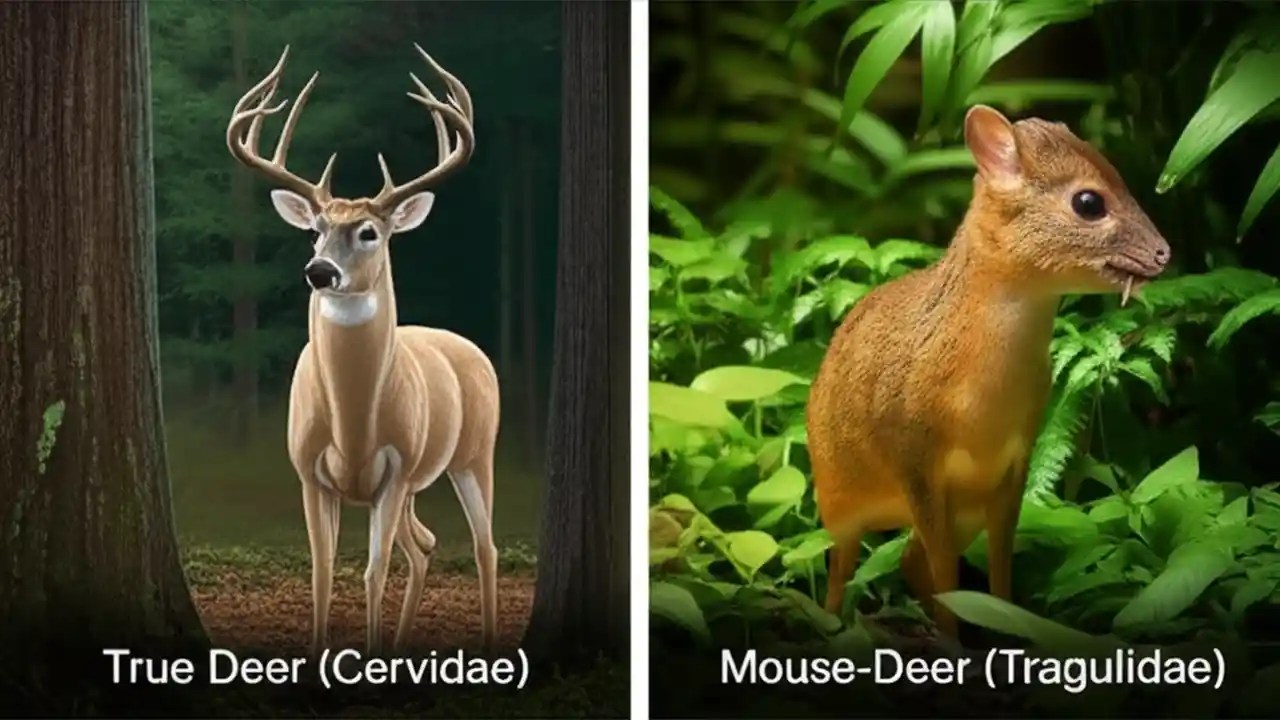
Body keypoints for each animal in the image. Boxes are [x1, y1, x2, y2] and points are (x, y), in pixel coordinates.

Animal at [225, 45, 499, 657]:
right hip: (419, 482)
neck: (353, 427)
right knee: (424, 545)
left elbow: (373, 572)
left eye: (369, 232)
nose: (319, 270)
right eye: (315, 230)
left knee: (483, 546)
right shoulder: (307, 470)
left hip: (473, 454)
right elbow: (323, 571)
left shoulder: (396, 469)